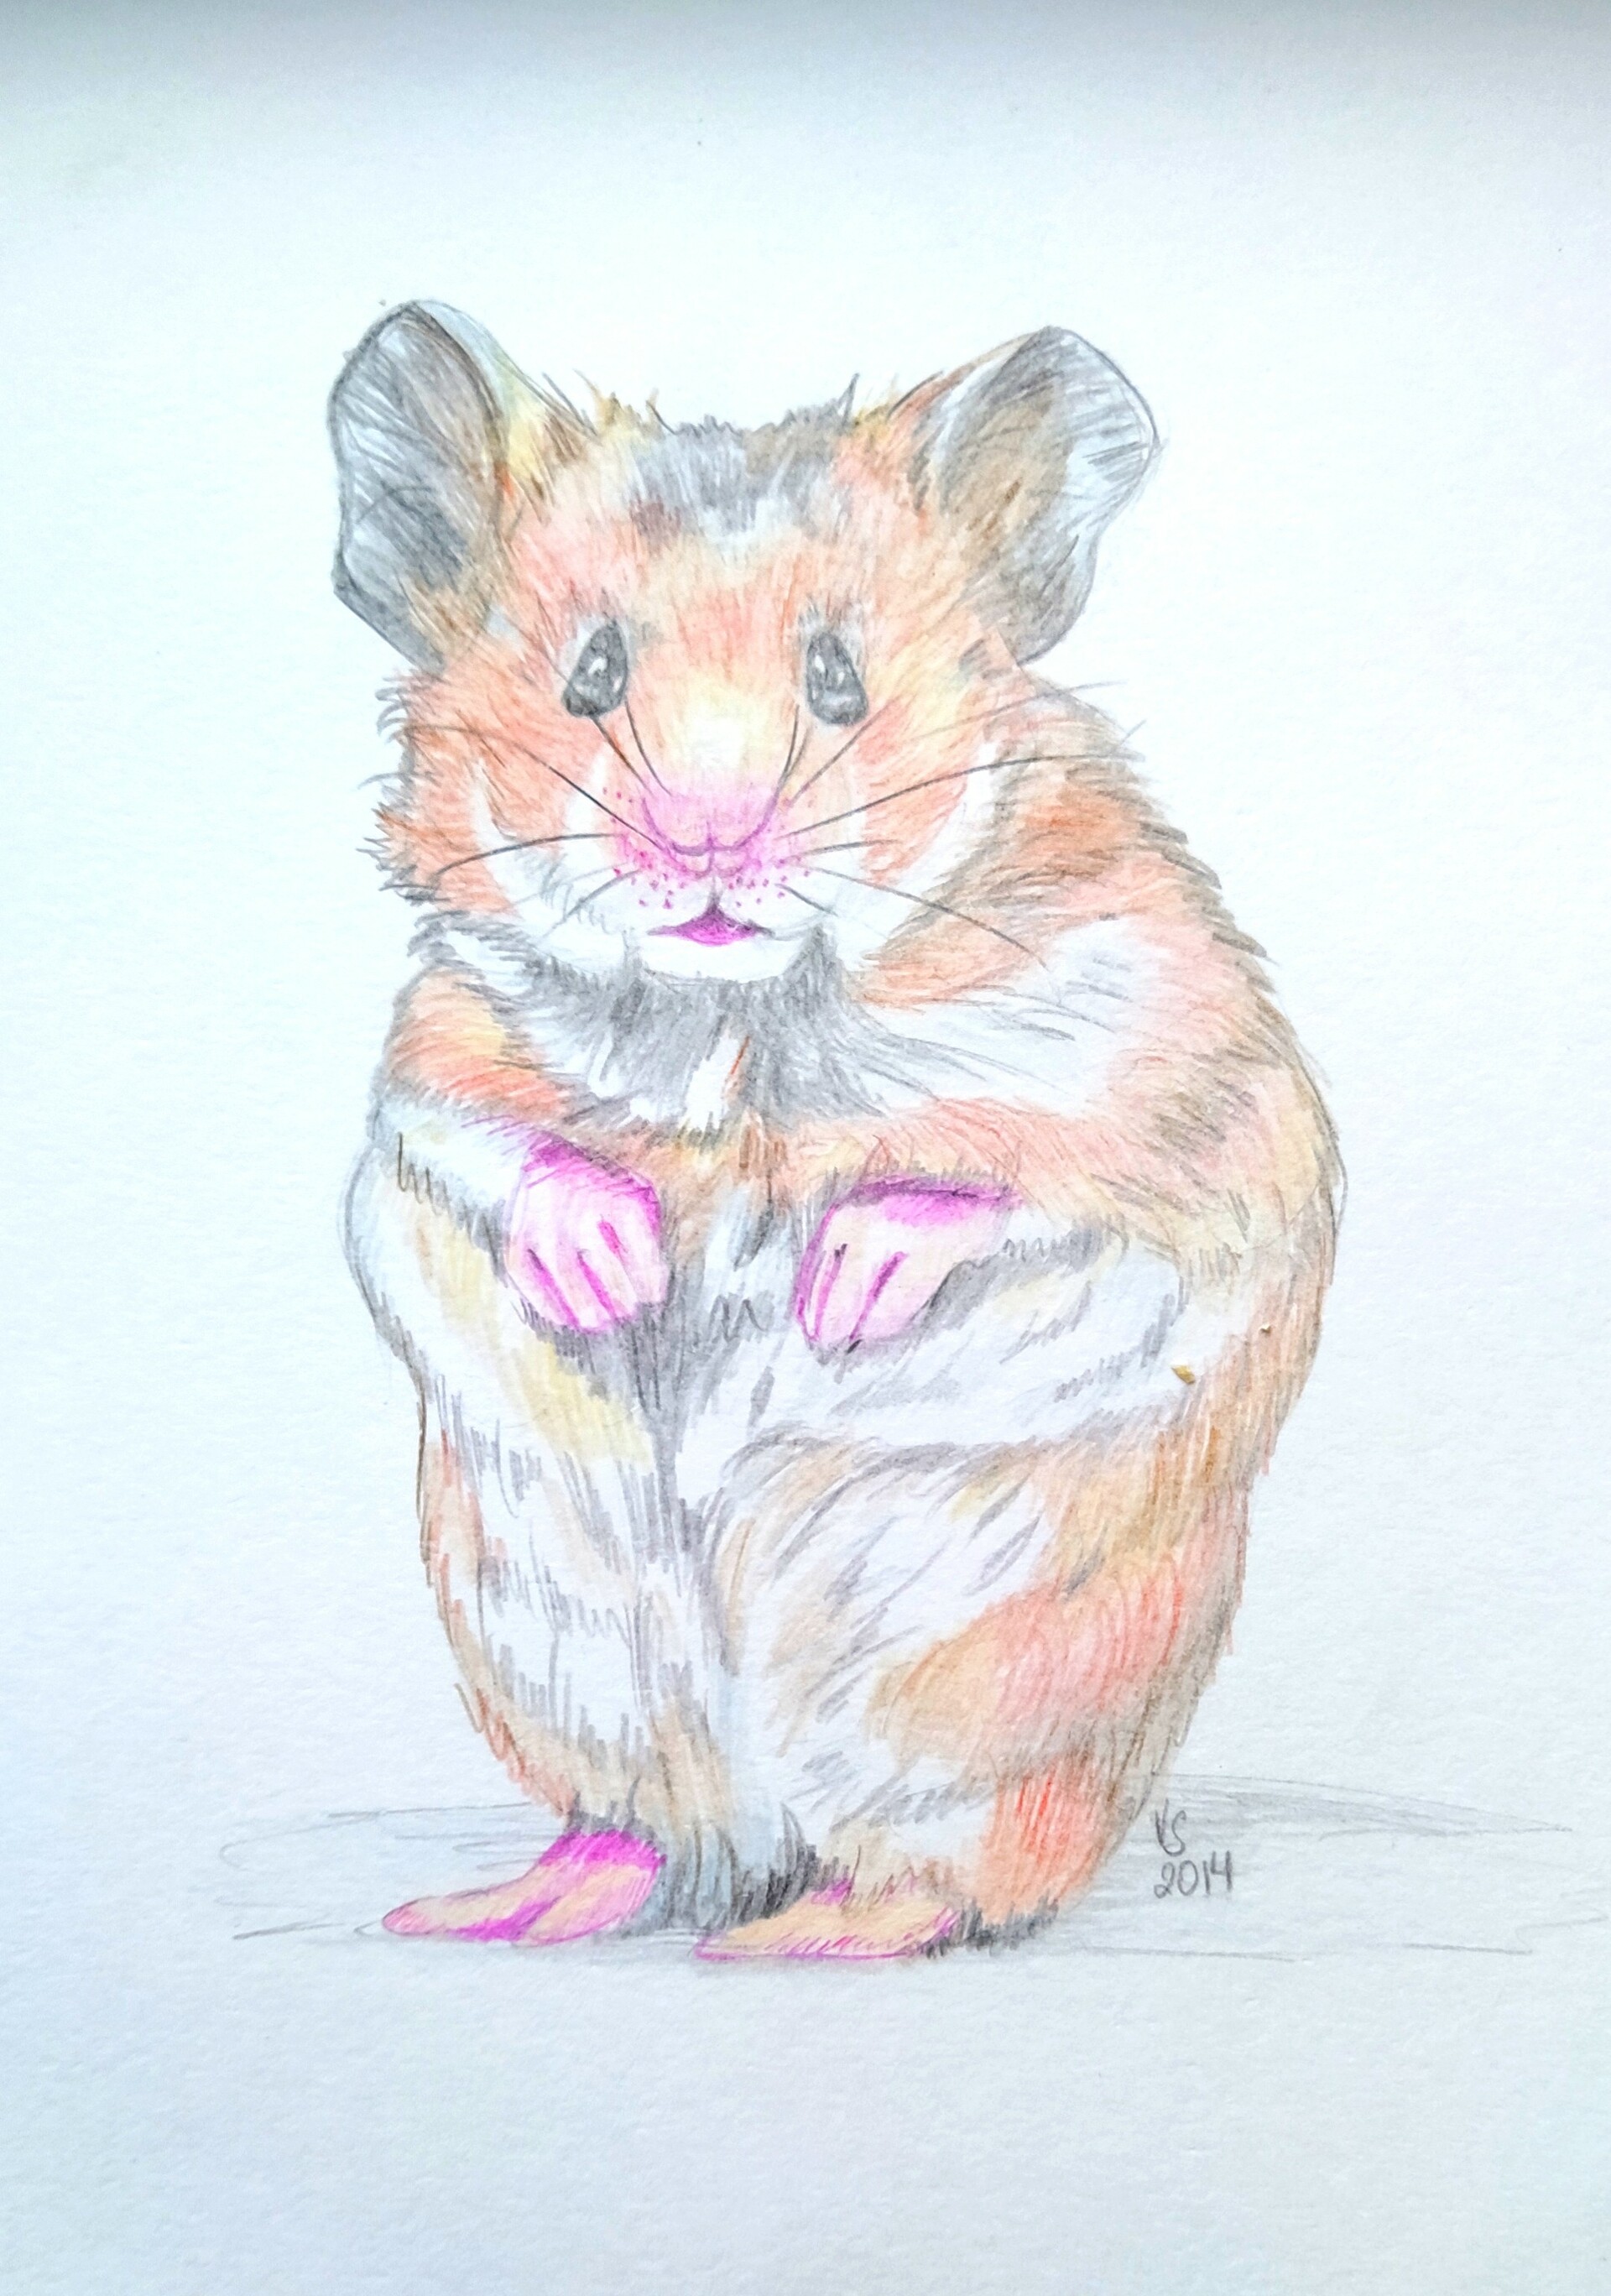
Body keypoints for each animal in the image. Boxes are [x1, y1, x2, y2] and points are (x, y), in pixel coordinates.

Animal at [329, 302, 1339, 1959]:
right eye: (591, 673)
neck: (731, 1021)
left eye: (839, 679)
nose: (708, 843)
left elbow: (1079, 1187)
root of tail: (755, 1829)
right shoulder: (435, 1050)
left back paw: (797, 1936)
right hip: (560, 1654)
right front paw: (612, 1266)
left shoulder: (1207, 1076)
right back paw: (490, 1908)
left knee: (949, 1879)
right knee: (634, 1829)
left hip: (964, 1716)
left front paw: (837, 1287)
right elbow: (468, 1146)